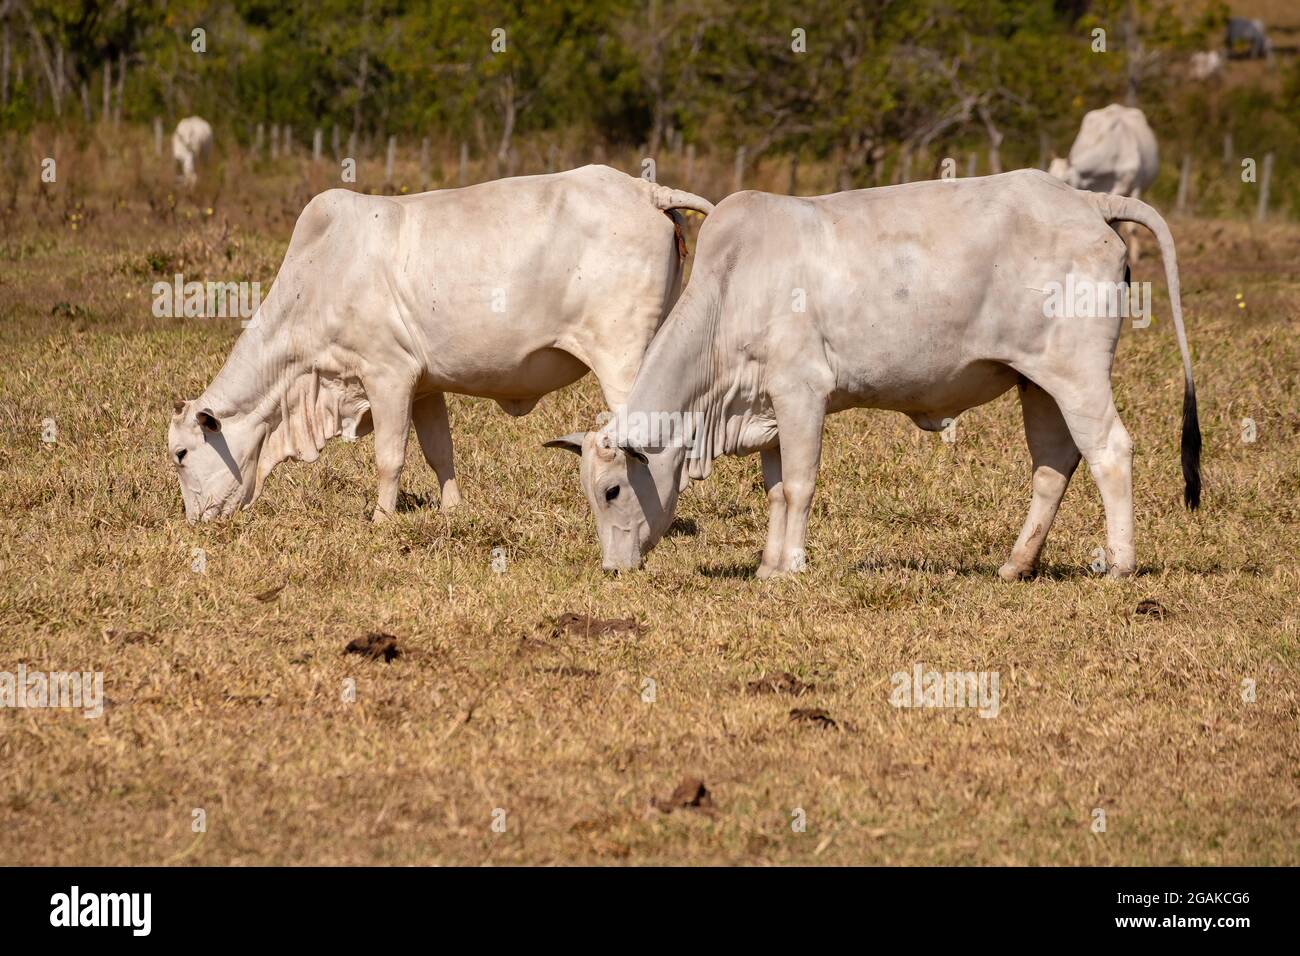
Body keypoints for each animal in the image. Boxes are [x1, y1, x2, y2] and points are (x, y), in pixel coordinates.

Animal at [168, 165, 714, 523]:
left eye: (180, 454)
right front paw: (453, 511)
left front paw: (381, 521)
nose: (196, 522)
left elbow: (389, 456)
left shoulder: (387, 374)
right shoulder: (425, 385)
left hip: (623, 358)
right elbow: (439, 453)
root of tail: (646, 190)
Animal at [547, 170, 1201, 580]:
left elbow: (800, 485)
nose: (613, 569)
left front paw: (791, 567)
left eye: (612, 490)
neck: (734, 286)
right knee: (1052, 464)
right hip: (1037, 381)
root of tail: (1086, 201)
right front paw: (767, 564)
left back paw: (1119, 563)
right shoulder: (768, 408)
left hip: (1077, 373)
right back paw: (1017, 565)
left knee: (1109, 451)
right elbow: (776, 488)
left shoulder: (802, 394)